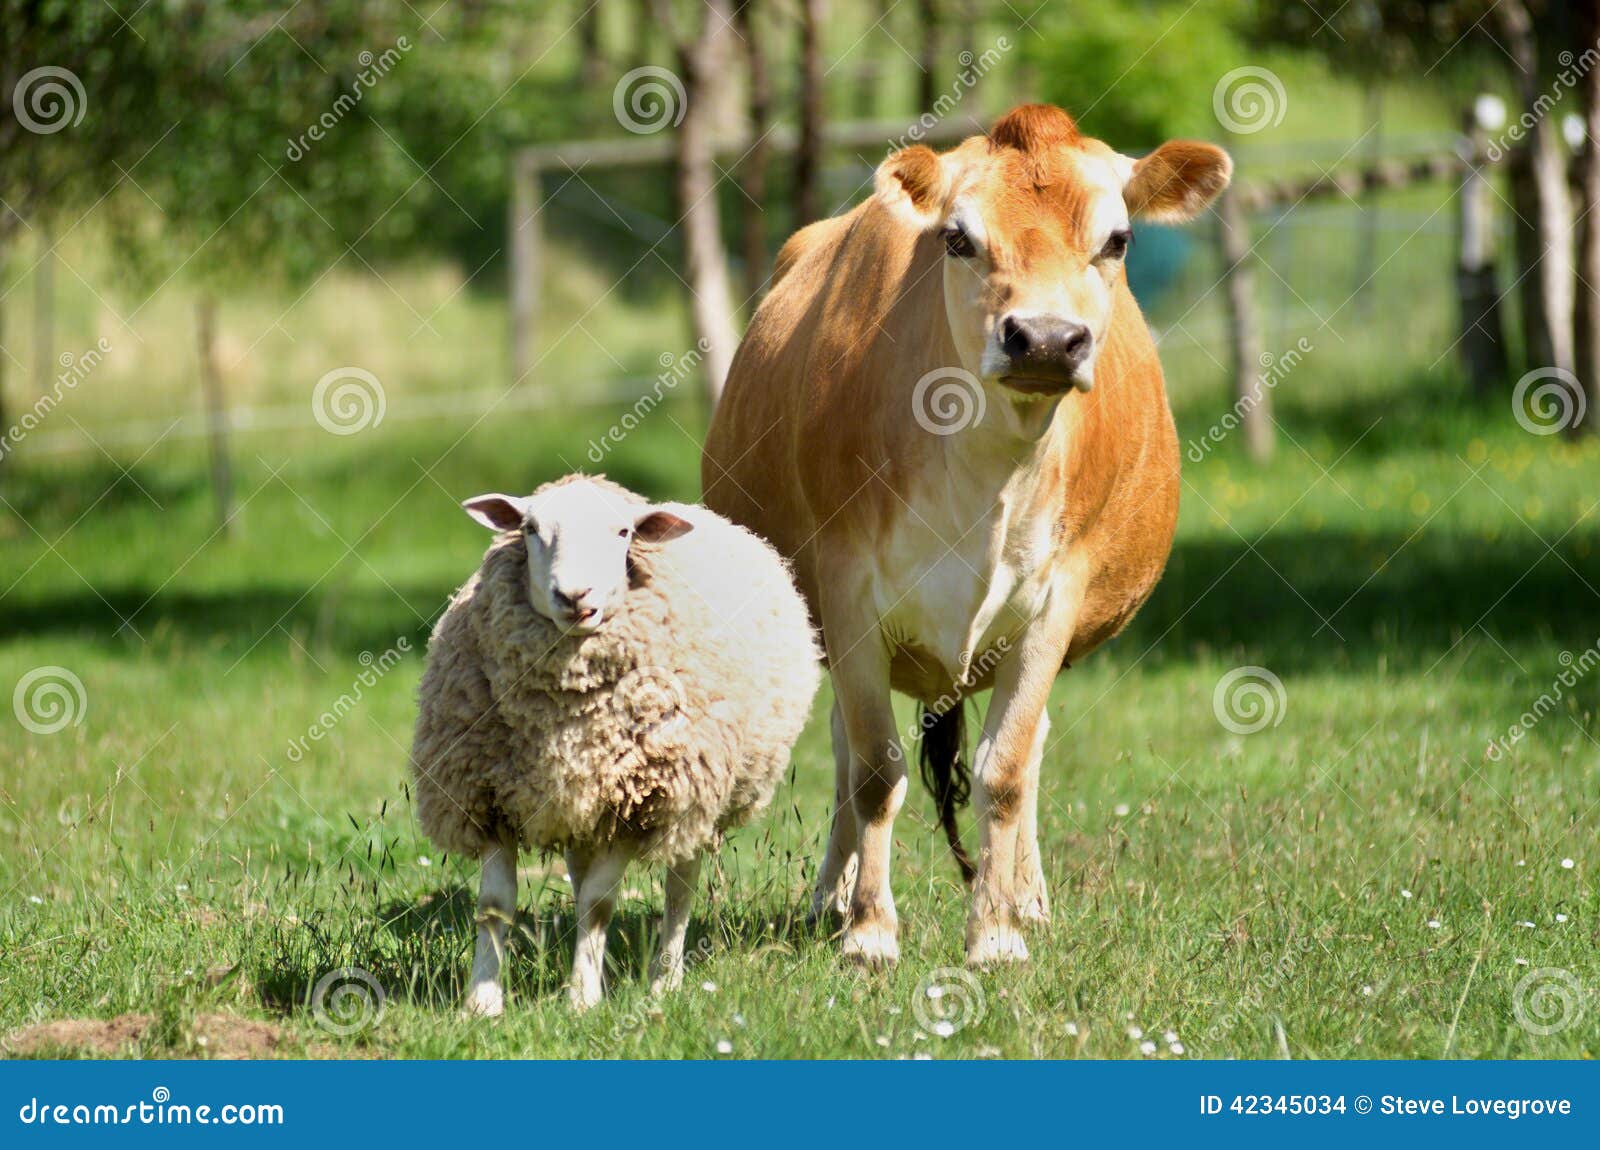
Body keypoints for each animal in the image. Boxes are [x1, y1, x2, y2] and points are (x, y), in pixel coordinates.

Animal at [409, 474, 821, 1013]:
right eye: (530, 528)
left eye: (624, 532)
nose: (573, 595)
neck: (565, 711)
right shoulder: (490, 795)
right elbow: (495, 906)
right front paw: (481, 1004)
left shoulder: (638, 803)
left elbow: (599, 904)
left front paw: (582, 1000)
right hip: (580, 803)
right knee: (581, 868)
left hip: (691, 798)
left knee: (680, 888)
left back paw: (665, 980)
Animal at [701, 104, 1231, 967]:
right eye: (957, 237)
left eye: (1118, 239)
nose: (1045, 339)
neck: (987, 476)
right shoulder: (847, 595)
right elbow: (873, 769)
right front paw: (869, 931)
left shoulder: (1054, 605)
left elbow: (1006, 769)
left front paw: (998, 932)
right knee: (846, 751)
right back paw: (831, 898)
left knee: (1031, 743)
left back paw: (1028, 896)